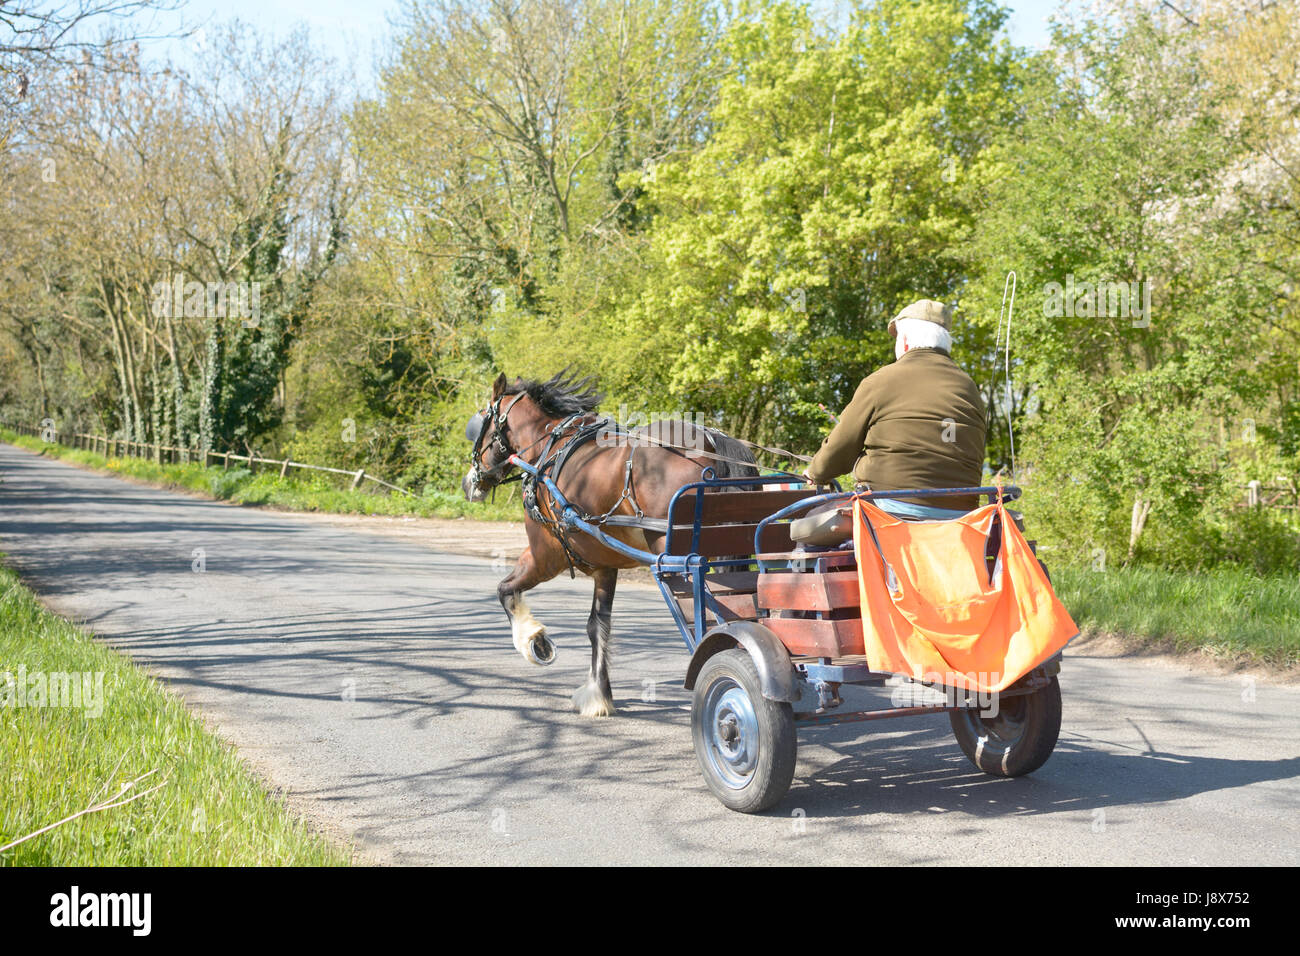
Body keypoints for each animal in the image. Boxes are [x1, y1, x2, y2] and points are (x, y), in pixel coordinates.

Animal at [462, 370, 758, 717]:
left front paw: (536, 643)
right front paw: (598, 694)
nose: (469, 483)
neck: (548, 449)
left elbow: (505, 590)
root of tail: (712, 440)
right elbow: (597, 625)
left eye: (481, 425)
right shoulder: (605, 565)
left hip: (676, 563)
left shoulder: (545, 553)